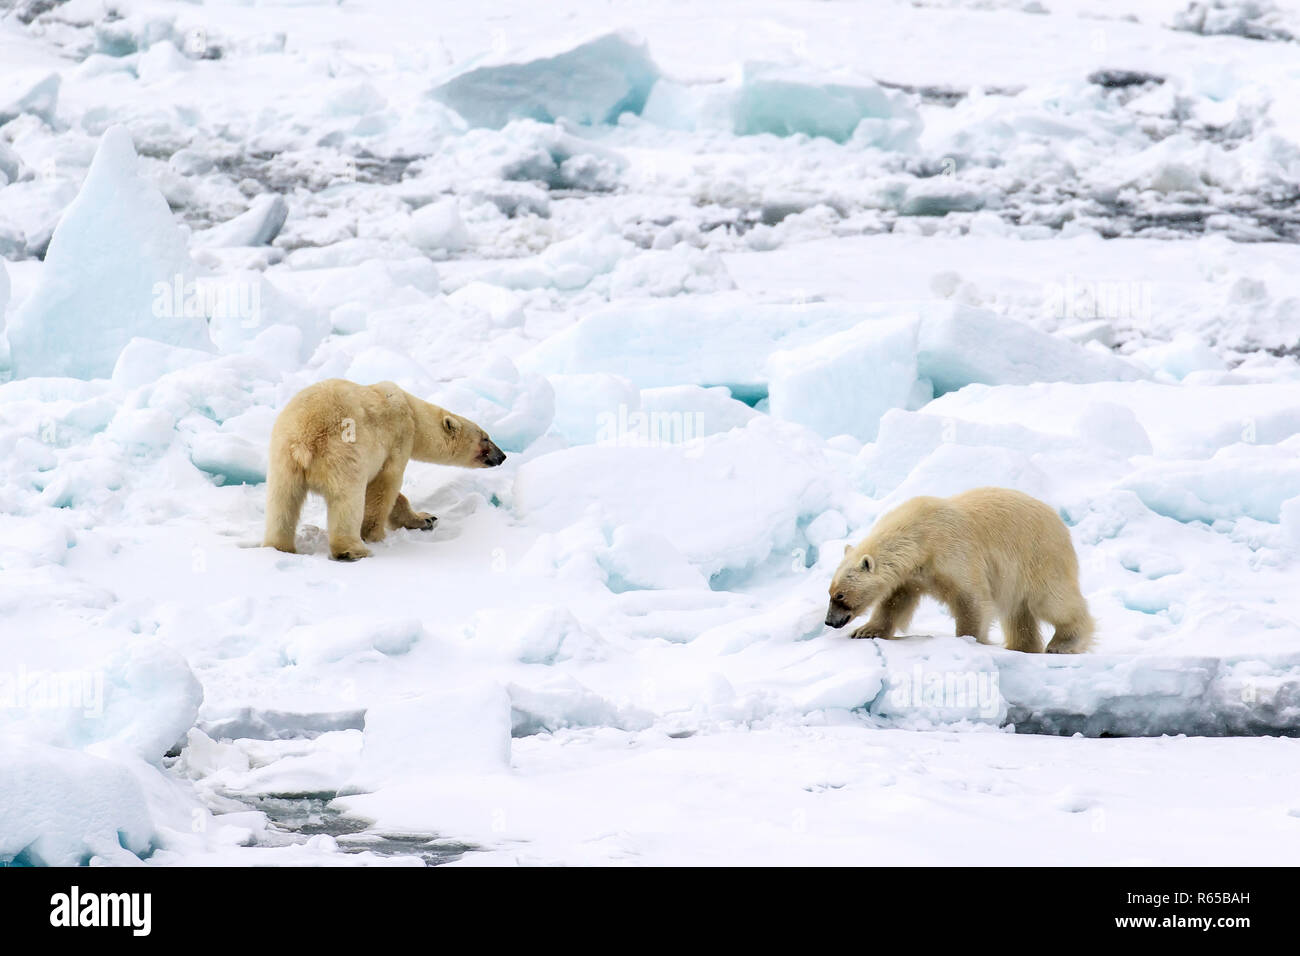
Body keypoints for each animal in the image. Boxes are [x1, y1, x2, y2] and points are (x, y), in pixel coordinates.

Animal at [263, 379, 506, 561]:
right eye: (485, 438)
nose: (502, 456)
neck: (412, 412)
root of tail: (304, 442)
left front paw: (426, 518)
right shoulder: (398, 438)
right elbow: (385, 485)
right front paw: (377, 533)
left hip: (282, 459)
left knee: (282, 501)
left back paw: (280, 547)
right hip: (342, 454)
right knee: (347, 499)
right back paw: (353, 551)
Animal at [824, 487, 1094, 653]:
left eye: (840, 595)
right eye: (830, 592)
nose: (829, 621)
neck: (918, 537)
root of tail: (1060, 523)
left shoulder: (952, 551)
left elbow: (970, 598)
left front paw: (969, 640)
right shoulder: (912, 575)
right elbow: (894, 601)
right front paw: (865, 631)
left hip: (1040, 556)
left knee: (1051, 600)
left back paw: (1063, 643)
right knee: (1018, 613)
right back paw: (1022, 647)